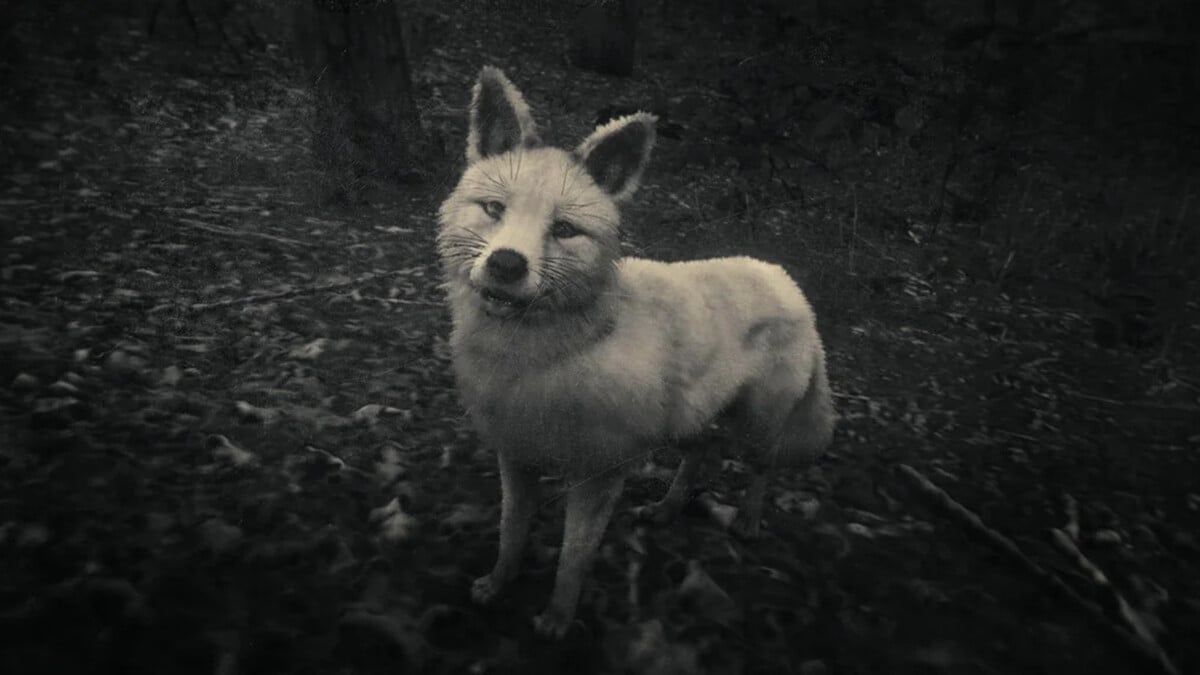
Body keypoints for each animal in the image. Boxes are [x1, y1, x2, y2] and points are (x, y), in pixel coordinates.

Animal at [437, 67, 835, 639]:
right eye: (494, 209)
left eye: (563, 230)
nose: (507, 265)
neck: (542, 358)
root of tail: (787, 281)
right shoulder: (516, 456)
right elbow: (510, 534)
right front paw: (497, 585)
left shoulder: (599, 476)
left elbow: (573, 559)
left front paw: (557, 621)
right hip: (690, 419)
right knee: (699, 455)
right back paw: (666, 511)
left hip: (757, 426)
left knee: (760, 469)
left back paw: (749, 522)